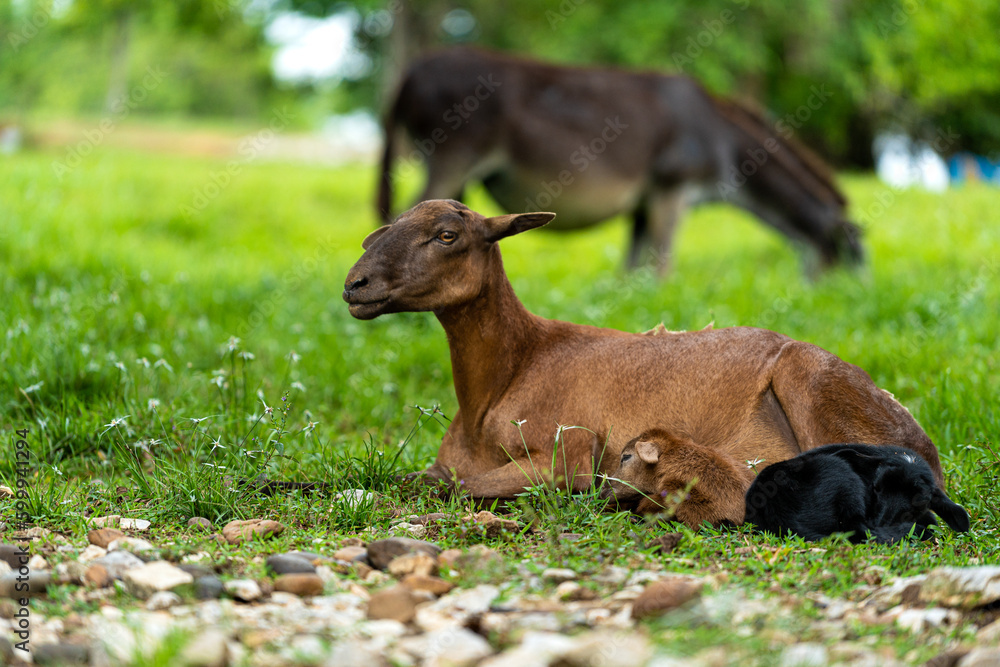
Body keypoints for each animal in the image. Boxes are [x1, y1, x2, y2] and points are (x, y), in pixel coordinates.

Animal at [343, 200, 942, 513]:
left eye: (447, 235)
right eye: (377, 234)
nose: (355, 284)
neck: (507, 375)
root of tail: (923, 443)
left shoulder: (568, 452)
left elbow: (457, 487)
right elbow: (418, 478)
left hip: (812, 381)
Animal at [379, 47, 862, 275]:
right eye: (852, 254)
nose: (853, 296)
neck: (722, 139)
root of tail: (409, 73)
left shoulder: (644, 202)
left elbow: (633, 268)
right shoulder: (673, 188)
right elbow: (663, 262)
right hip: (454, 153)